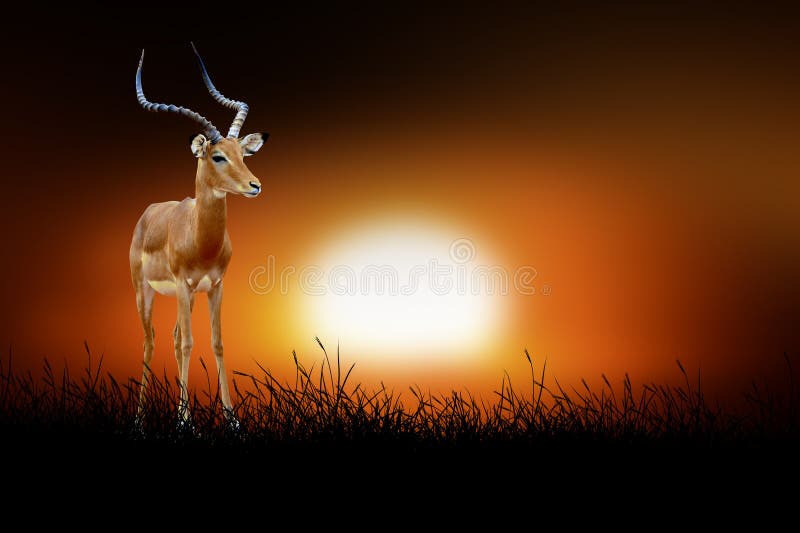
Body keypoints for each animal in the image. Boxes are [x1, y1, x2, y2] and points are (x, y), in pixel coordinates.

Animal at [130, 43, 267, 426]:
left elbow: (216, 342)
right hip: (146, 291)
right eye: (217, 156)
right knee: (152, 341)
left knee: (175, 338)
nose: (254, 185)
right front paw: (184, 421)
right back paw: (139, 420)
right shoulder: (182, 284)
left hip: (186, 297)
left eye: (242, 153)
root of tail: (147, 213)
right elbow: (190, 344)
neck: (201, 240)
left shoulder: (215, 286)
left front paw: (232, 419)